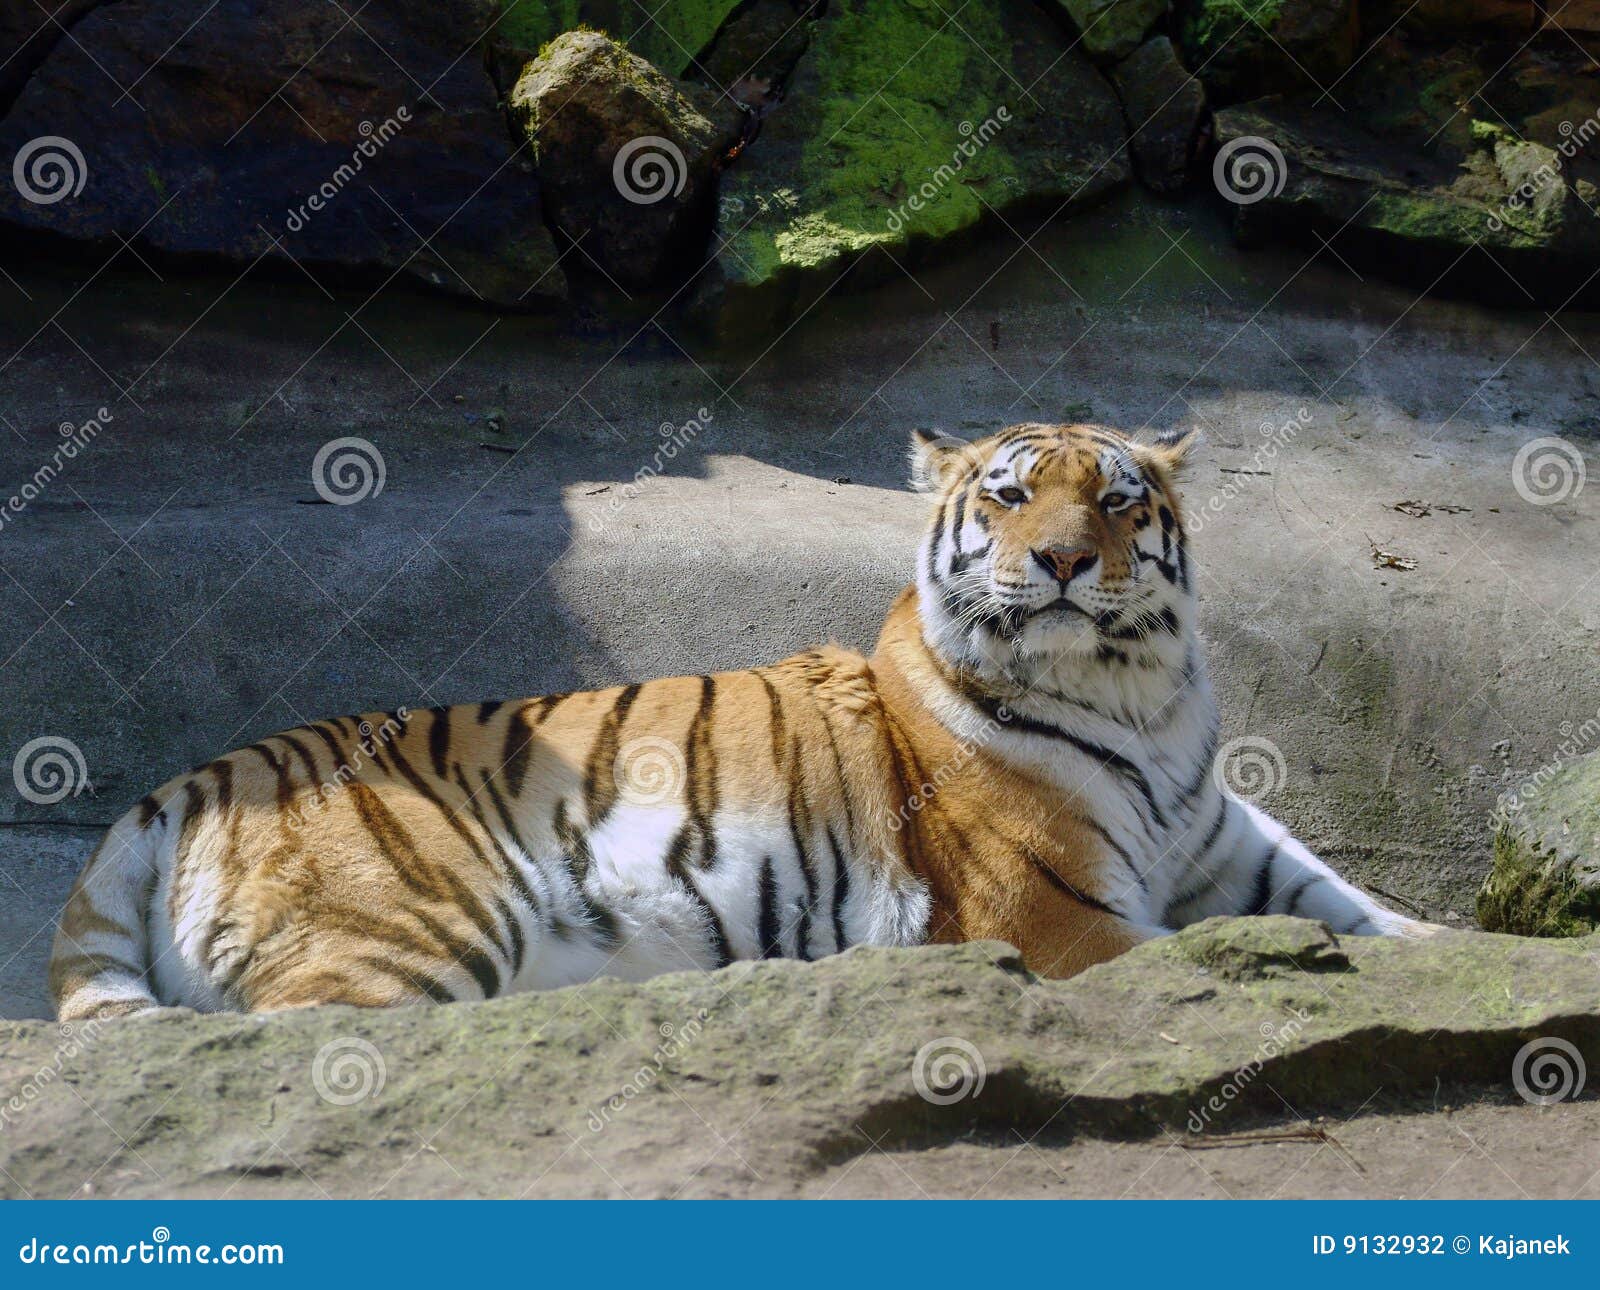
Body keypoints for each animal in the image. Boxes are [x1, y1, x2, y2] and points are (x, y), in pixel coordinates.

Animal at [50, 421, 1434, 1020]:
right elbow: (1211, 953)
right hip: (411, 928)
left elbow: (1367, 915)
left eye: (1114, 499)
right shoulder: (1059, 916)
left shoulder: (1226, 842)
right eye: (1009, 497)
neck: (1135, 695)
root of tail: (186, 782)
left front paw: (1450, 950)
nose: (1056, 561)